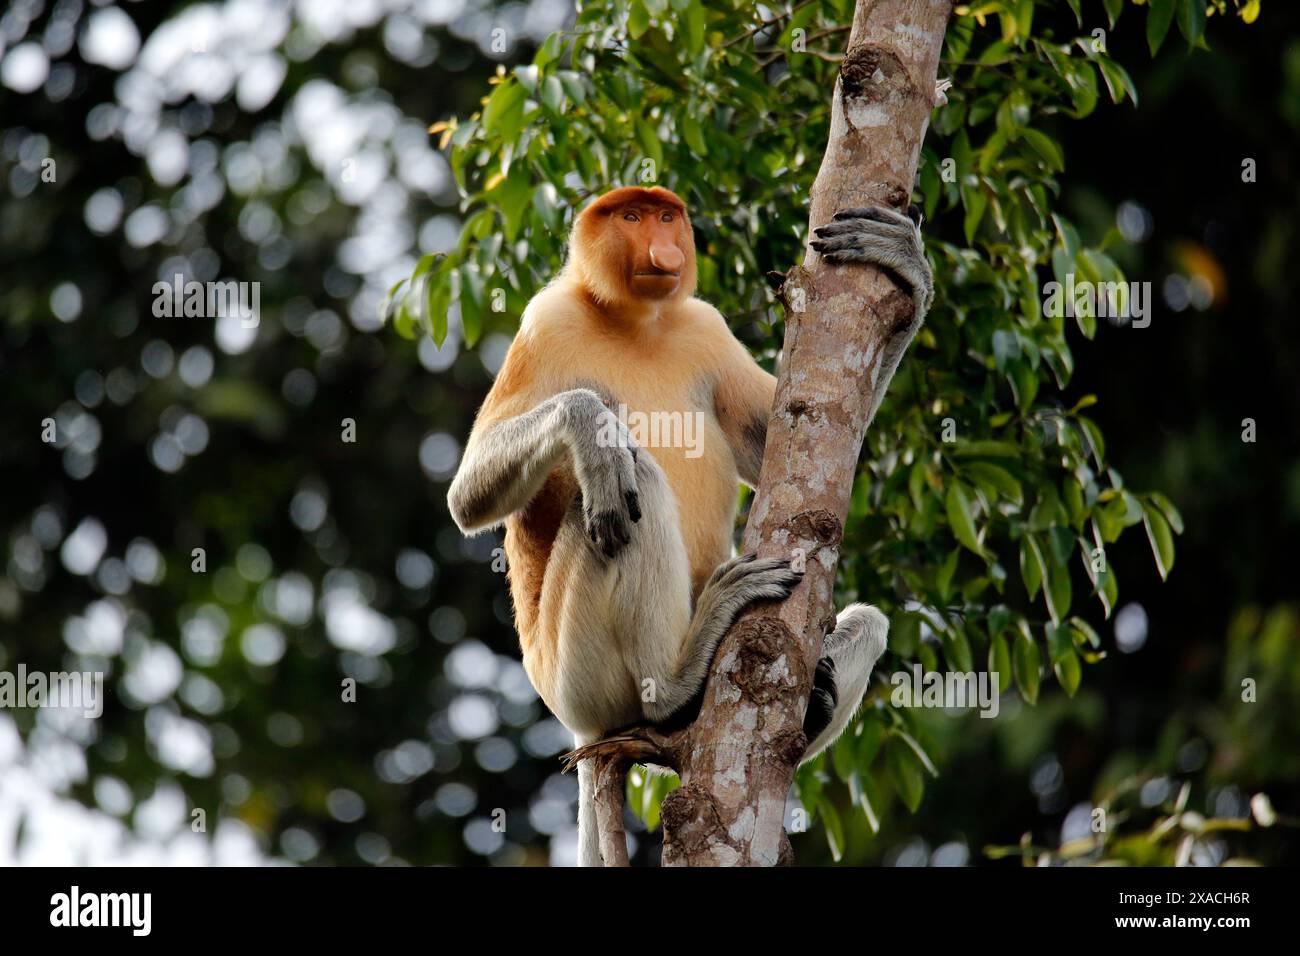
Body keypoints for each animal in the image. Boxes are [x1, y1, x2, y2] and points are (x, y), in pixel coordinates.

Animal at [447, 186, 933, 865]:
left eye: (665, 216)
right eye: (630, 217)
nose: (664, 248)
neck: (639, 324)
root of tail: (583, 729)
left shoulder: (707, 328)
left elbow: (797, 428)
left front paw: (905, 262)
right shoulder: (547, 322)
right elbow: (468, 498)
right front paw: (592, 428)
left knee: (870, 621)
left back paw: (810, 701)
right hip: (578, 676)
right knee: (631, 488)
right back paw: (676, 687)